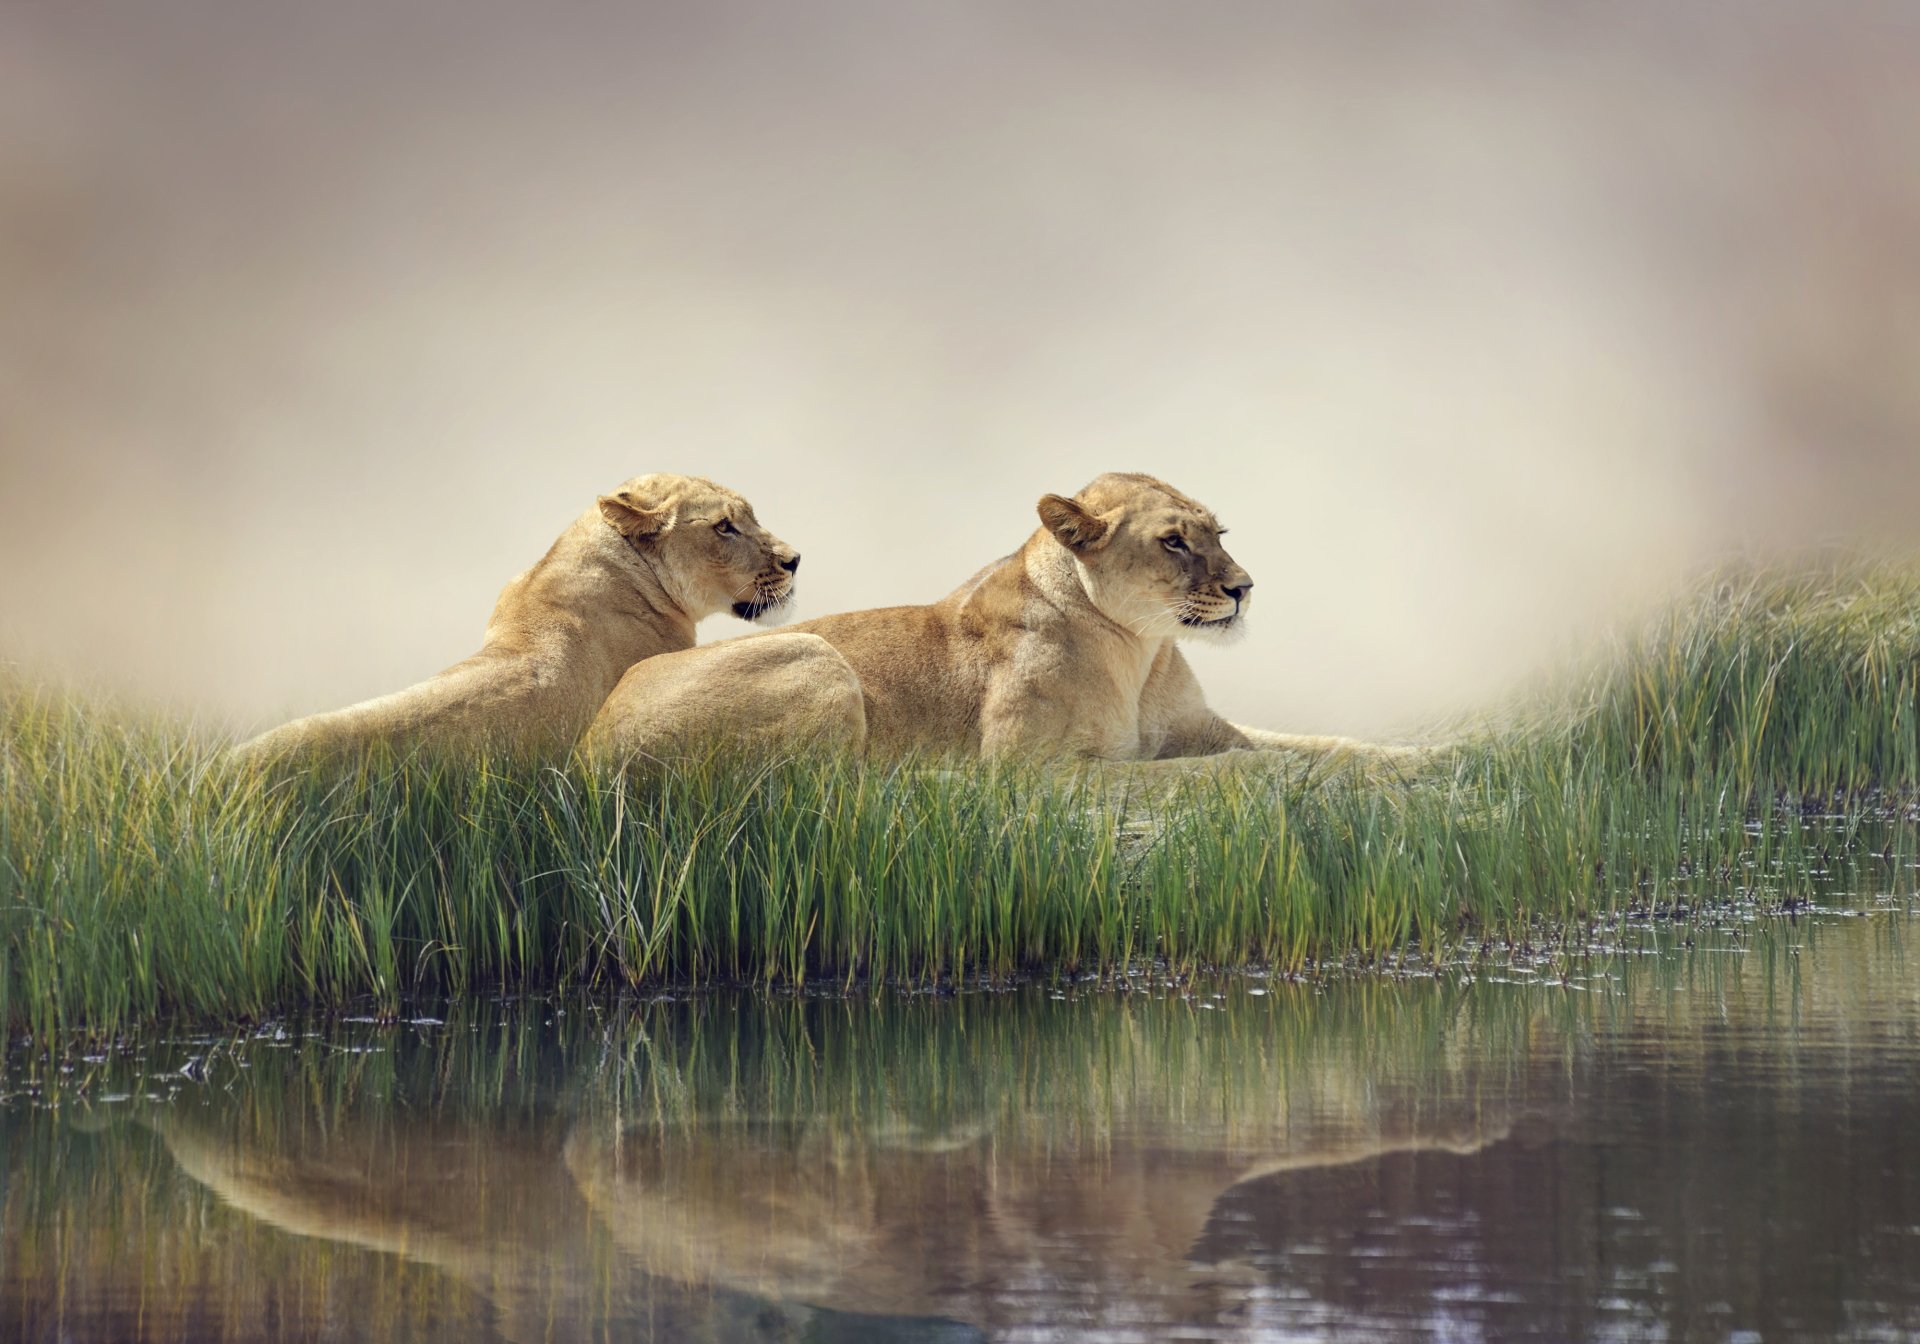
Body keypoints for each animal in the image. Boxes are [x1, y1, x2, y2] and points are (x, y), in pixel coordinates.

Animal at [584, 471, 1397, 764]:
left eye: (1218, 533)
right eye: (1173, 541)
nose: (1244, 588)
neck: (1142, 653)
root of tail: (589, 741)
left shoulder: (1204, 725)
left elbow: (1328, 746)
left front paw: (1413, 759)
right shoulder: (1036, 769)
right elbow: (1218, 772)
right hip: (814, 658)